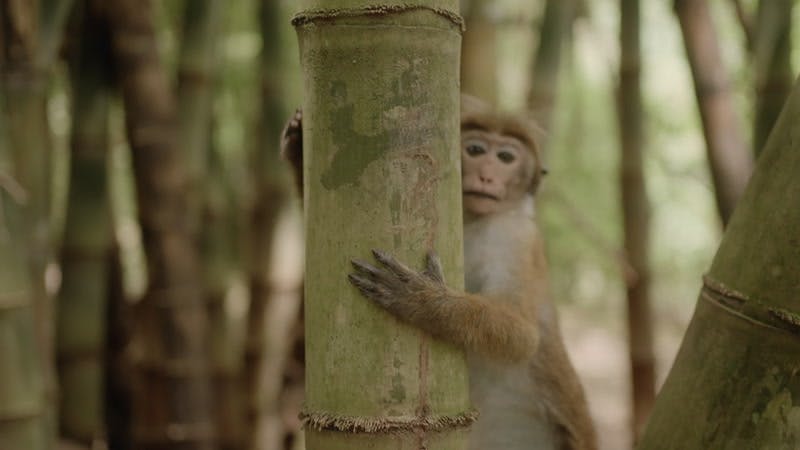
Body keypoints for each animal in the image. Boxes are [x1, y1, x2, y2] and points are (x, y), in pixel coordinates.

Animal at [280, 98, 597, 450]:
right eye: (475, 150)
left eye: (506, 157)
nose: (487, 176)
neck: (473, 222)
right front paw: (298, 145)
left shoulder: (513, 238)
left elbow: (523, 334)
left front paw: (424, 300)